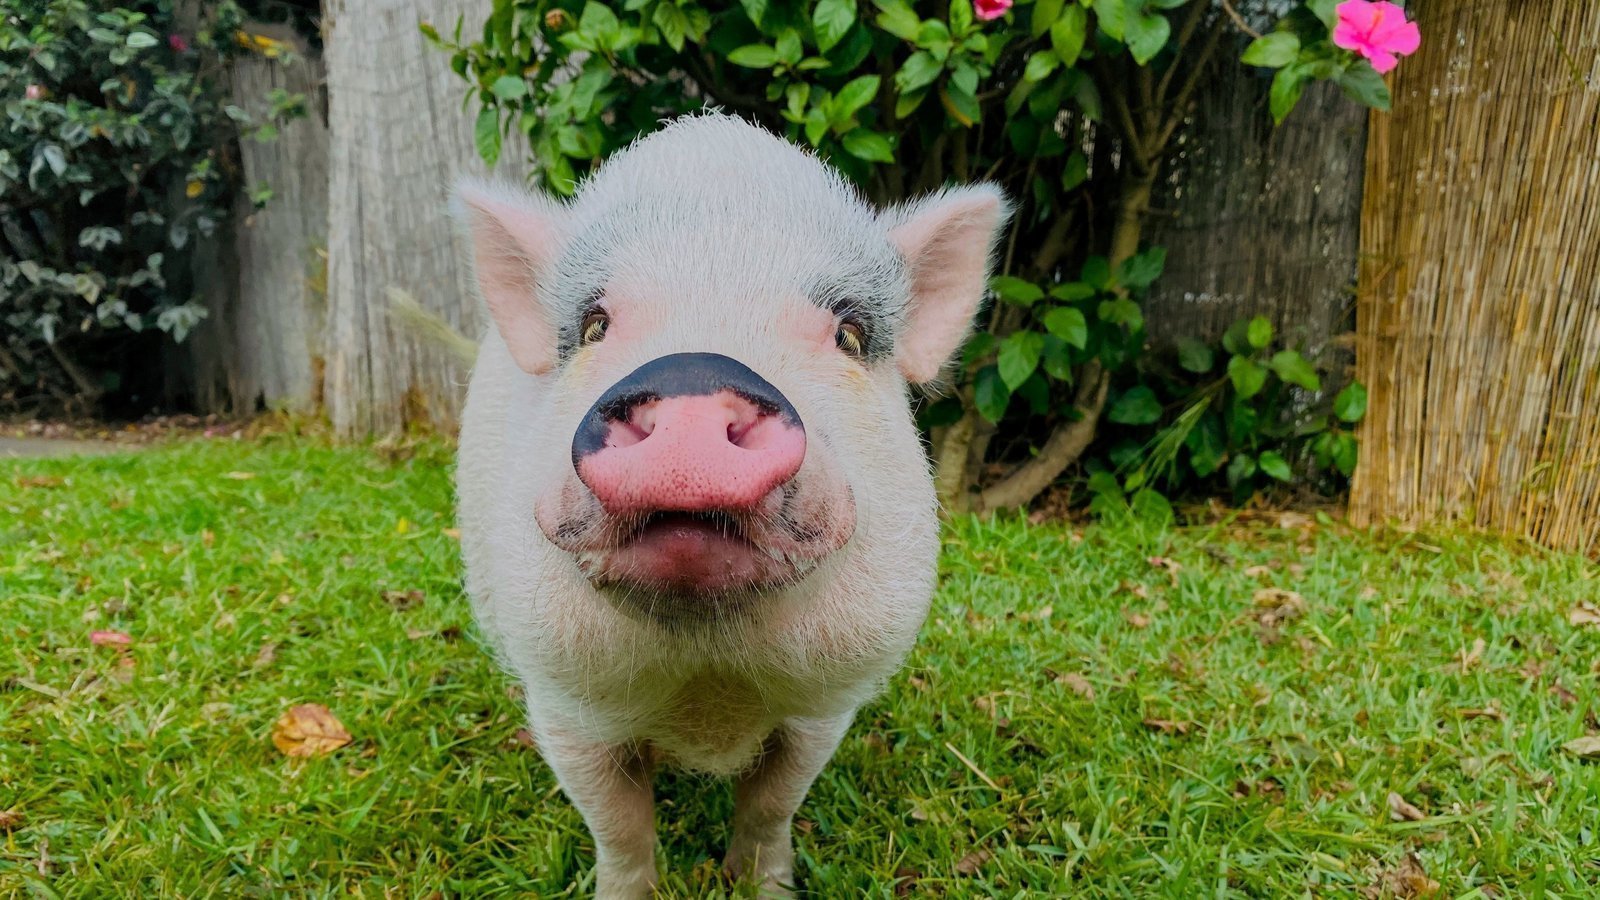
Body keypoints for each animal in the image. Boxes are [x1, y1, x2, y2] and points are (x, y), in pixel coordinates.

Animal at [454, 112, 1008, 898]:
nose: (692, 374)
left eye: (849, 333)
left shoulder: (821, 709)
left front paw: (764, 886)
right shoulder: (566, 705)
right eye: (594, 326)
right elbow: (616, 826)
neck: (709, 687)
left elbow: (775, 803)